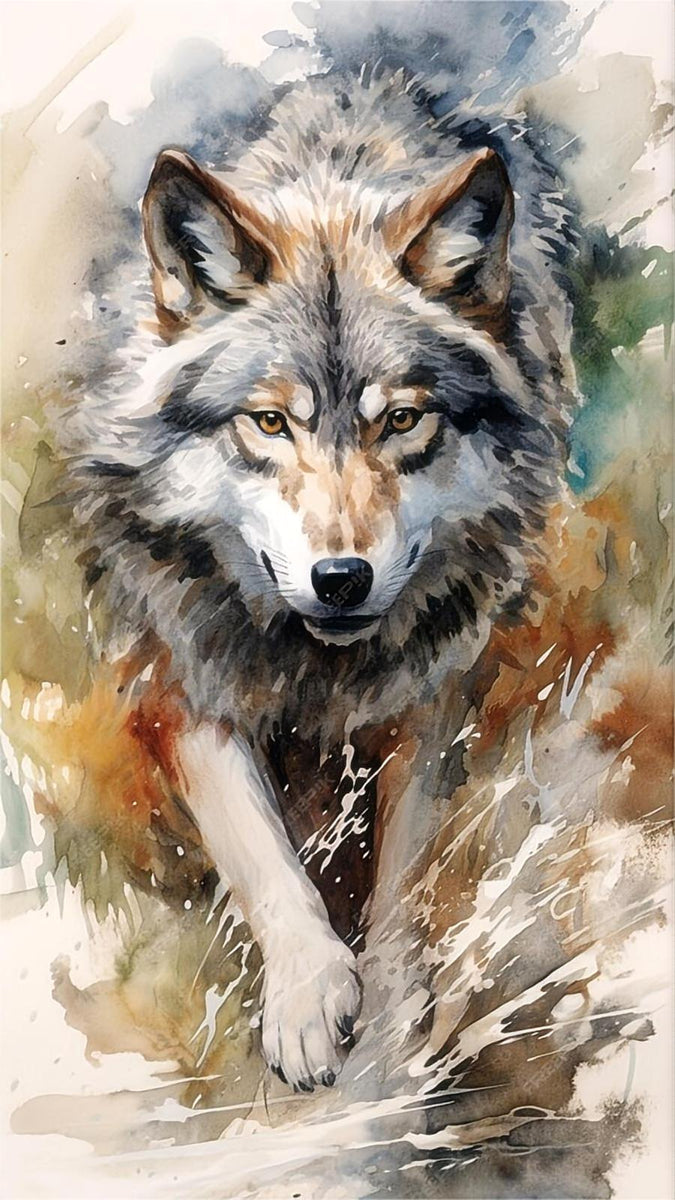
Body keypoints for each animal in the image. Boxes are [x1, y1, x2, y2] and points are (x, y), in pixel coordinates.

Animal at [64, 65, 578, 1093]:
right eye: (270, 423)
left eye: (402, 421)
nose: (341, 578)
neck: (318, 667)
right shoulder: (182, 673)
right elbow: (261, 852)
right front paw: (307, 1000)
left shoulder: (431, 690)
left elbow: (406, 873)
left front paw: (389, 1017)